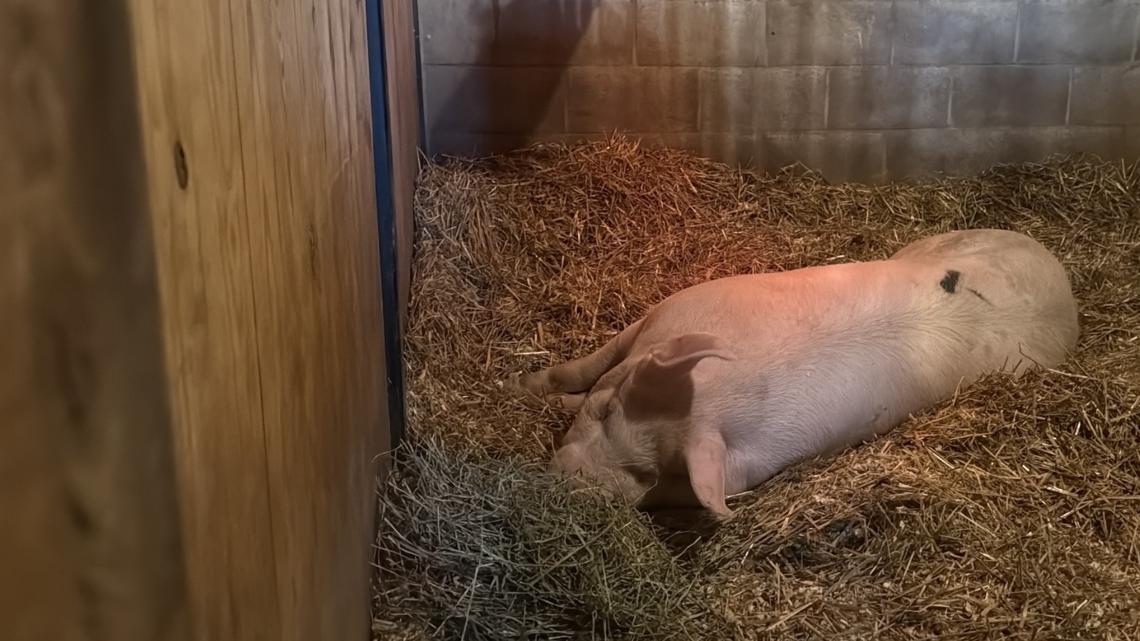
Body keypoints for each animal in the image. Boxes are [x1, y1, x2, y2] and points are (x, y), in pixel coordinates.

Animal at [504, 229, 1079, 518]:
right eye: (604, 411)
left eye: (646, 475)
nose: (558, 479)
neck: (726, 388)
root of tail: (1065, 287)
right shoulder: (664, 313)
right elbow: (583, 368)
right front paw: (515, 387)